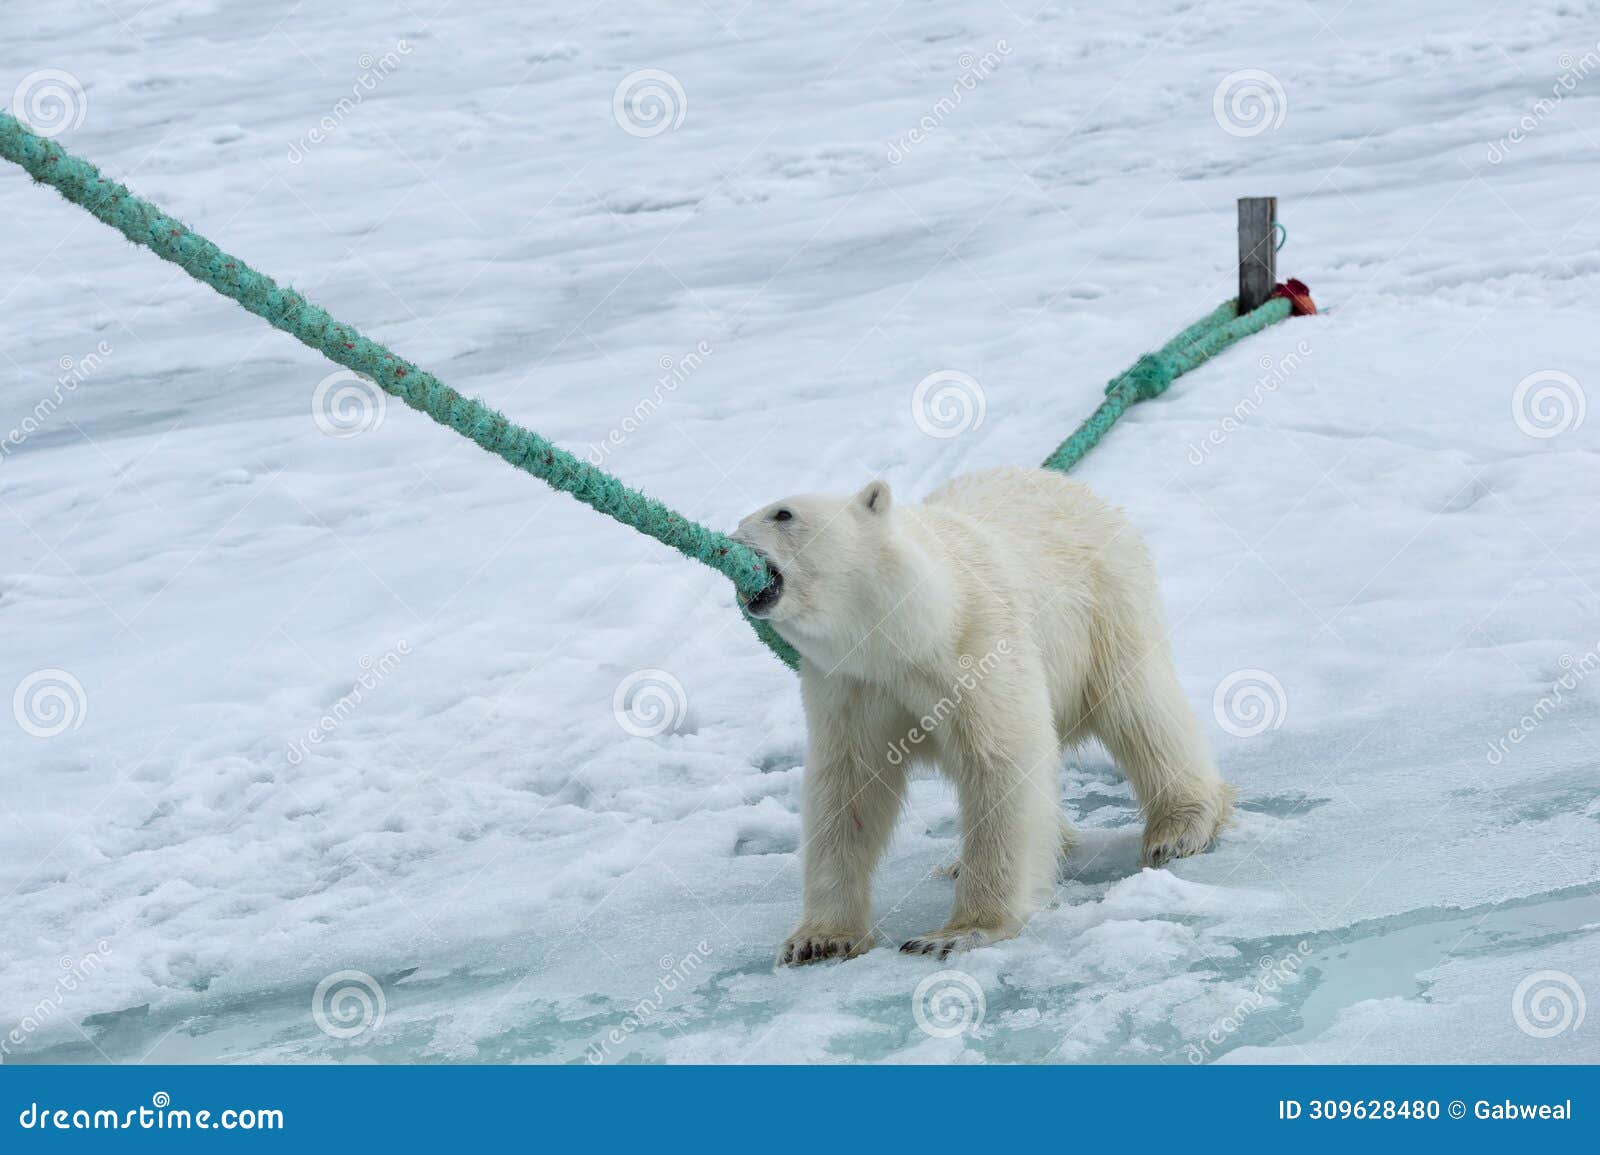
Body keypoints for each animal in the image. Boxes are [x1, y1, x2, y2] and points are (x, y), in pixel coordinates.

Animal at [730, 466, 1232, 964]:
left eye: (783, 513)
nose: (732, 536)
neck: (911, 634)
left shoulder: (978, 648)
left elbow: (1003, 763)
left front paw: (956, 933)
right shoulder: (849, 686)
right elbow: (846, 790)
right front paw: (819, 939)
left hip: (1107, 600)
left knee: (1139, 706)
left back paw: (1178, 827)